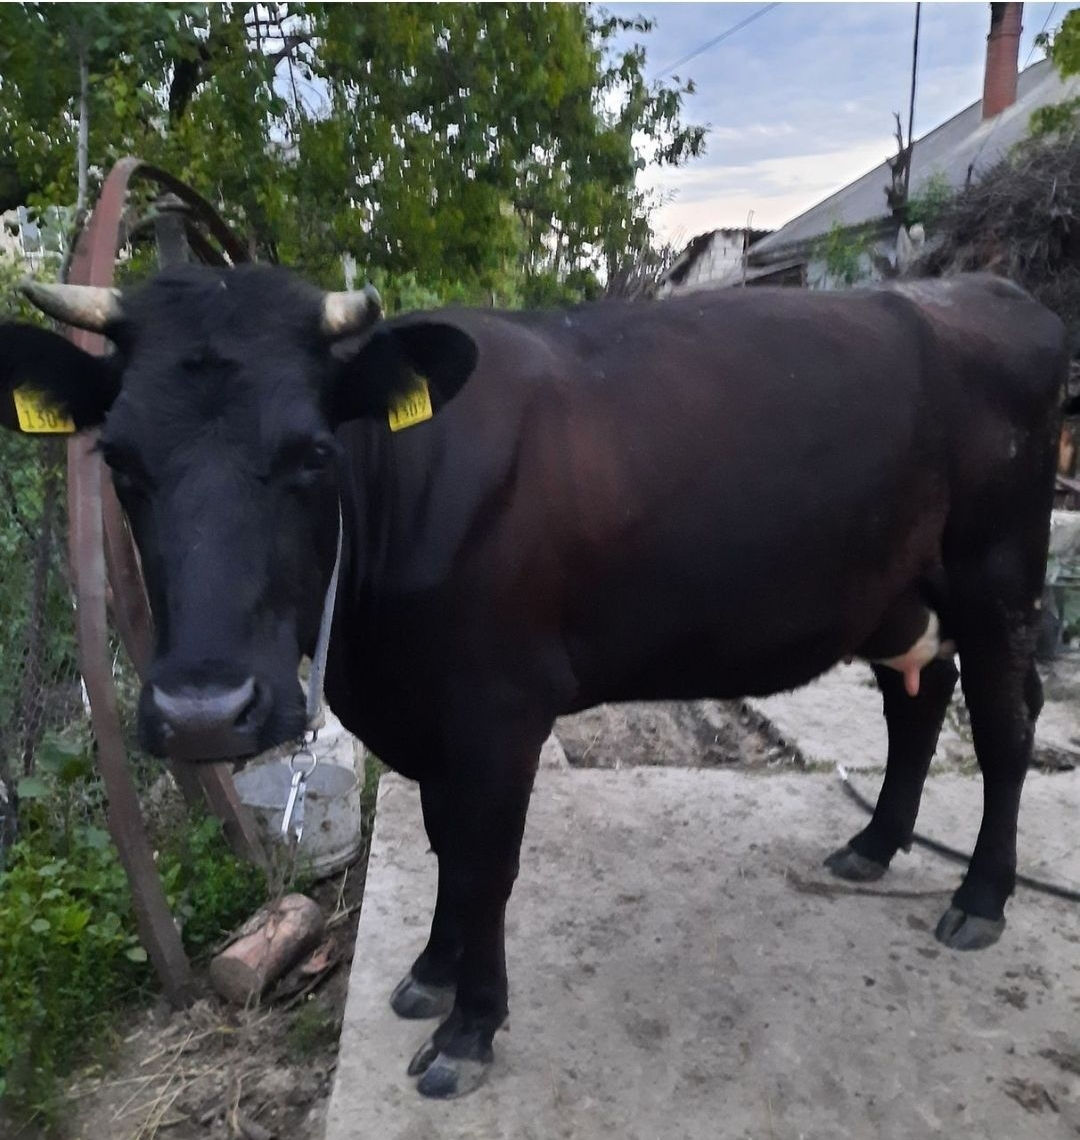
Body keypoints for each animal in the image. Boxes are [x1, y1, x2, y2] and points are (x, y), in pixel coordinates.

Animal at [0, 266, 1066, 1098]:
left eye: (313, 452)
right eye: (119, 459)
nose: (203, 712)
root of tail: (992, 292)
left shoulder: (497, 713)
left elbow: (484, 866)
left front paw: (468, 1030)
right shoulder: (426, 714)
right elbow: (442, 845)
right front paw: (431, 973)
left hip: (999, 576)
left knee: (1005, 728)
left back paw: (980, 898)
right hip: (899, 594)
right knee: (917, 704)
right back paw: (875, 846)